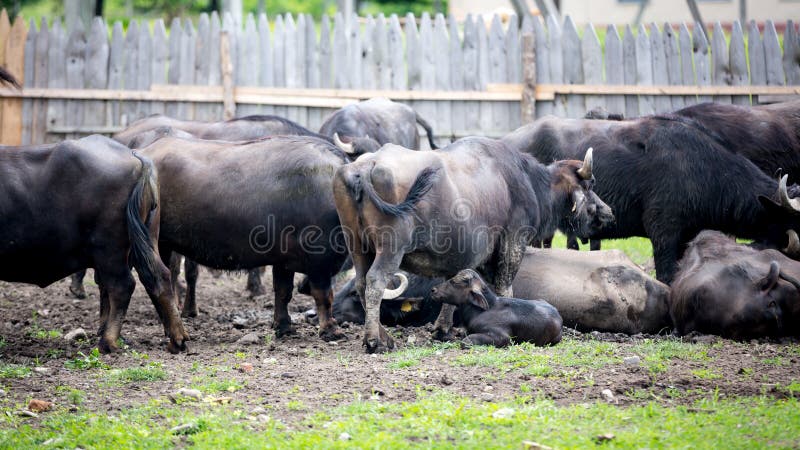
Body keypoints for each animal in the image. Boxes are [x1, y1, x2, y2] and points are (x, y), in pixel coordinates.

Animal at [333, 137, 612, 353]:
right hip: (391, 247)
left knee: (361, 283)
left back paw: (384, 336)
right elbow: (504, 286)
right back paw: (374, 341)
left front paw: (442, 330)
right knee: (376, 282)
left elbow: (451, 284)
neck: (528, 183)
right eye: (590, 185)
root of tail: (367, 165)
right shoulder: (513, 241)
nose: (607, 212)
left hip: (357, 244)